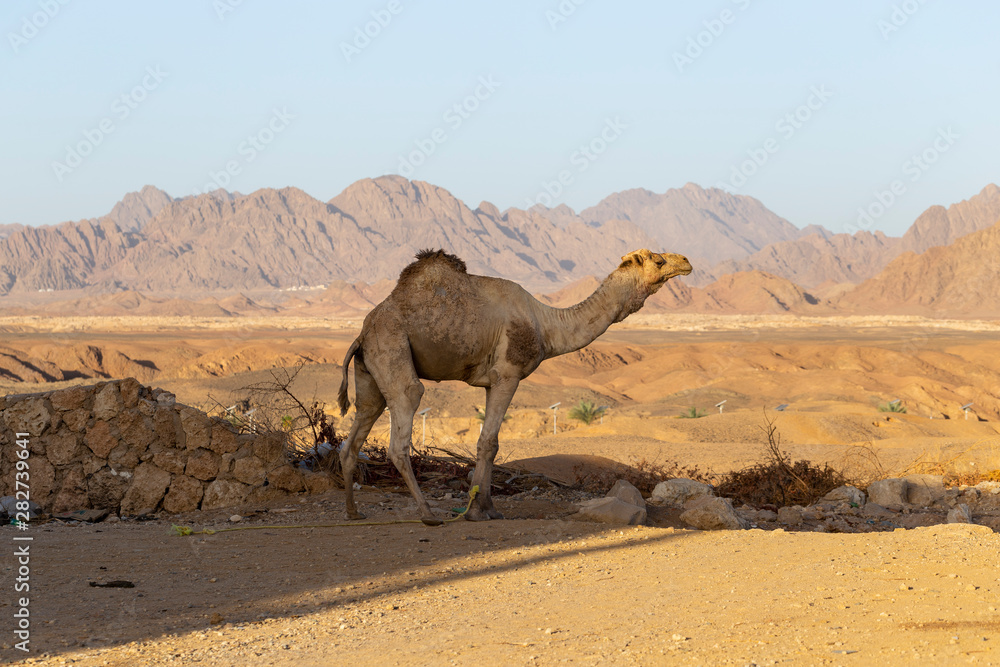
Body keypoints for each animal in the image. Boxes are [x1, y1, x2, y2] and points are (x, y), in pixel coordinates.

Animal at [337, 248, 692, 524]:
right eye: (659, 260)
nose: (687, 261)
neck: (546, 325)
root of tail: (363, 333)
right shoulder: (508, 374)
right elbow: (489, 442)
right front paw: (479, 512)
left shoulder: (490, 381)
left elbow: (487, 443)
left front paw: (486, 508)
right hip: (392, 346)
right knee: (404, 419)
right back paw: (428, 514)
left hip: (370, 370)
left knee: (357, 431)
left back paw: (353, 512)